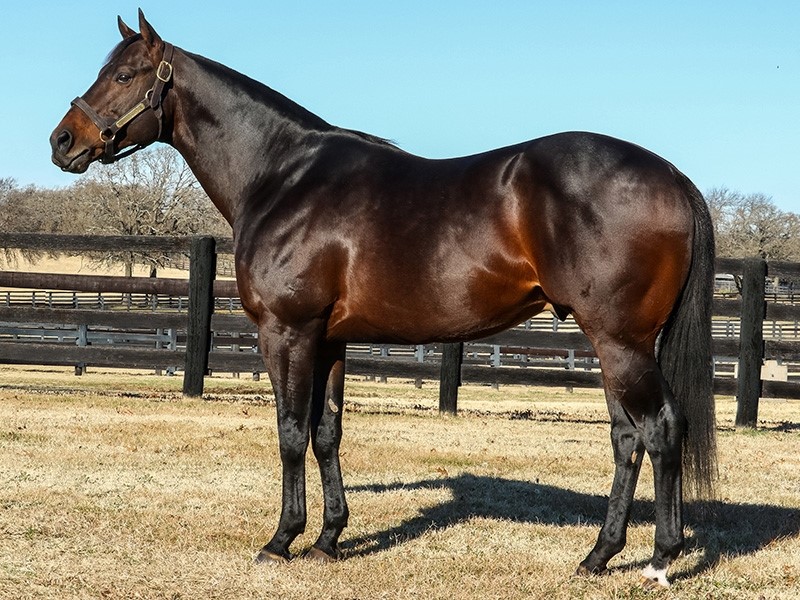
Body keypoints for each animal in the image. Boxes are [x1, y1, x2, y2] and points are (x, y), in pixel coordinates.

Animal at [50, 11, 716, 588]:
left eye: (125, 75)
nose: (62, 140)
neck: (284, 176)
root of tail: (673, 177)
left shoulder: (287, 331)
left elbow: (290, 431)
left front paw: (281, 541)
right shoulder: (330, 339)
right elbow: (326, 433)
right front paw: (328, 540)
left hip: (621, 341)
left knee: (659, 430)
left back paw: (660, 559)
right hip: (612, 344)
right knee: (627, 438)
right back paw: (599, 556)